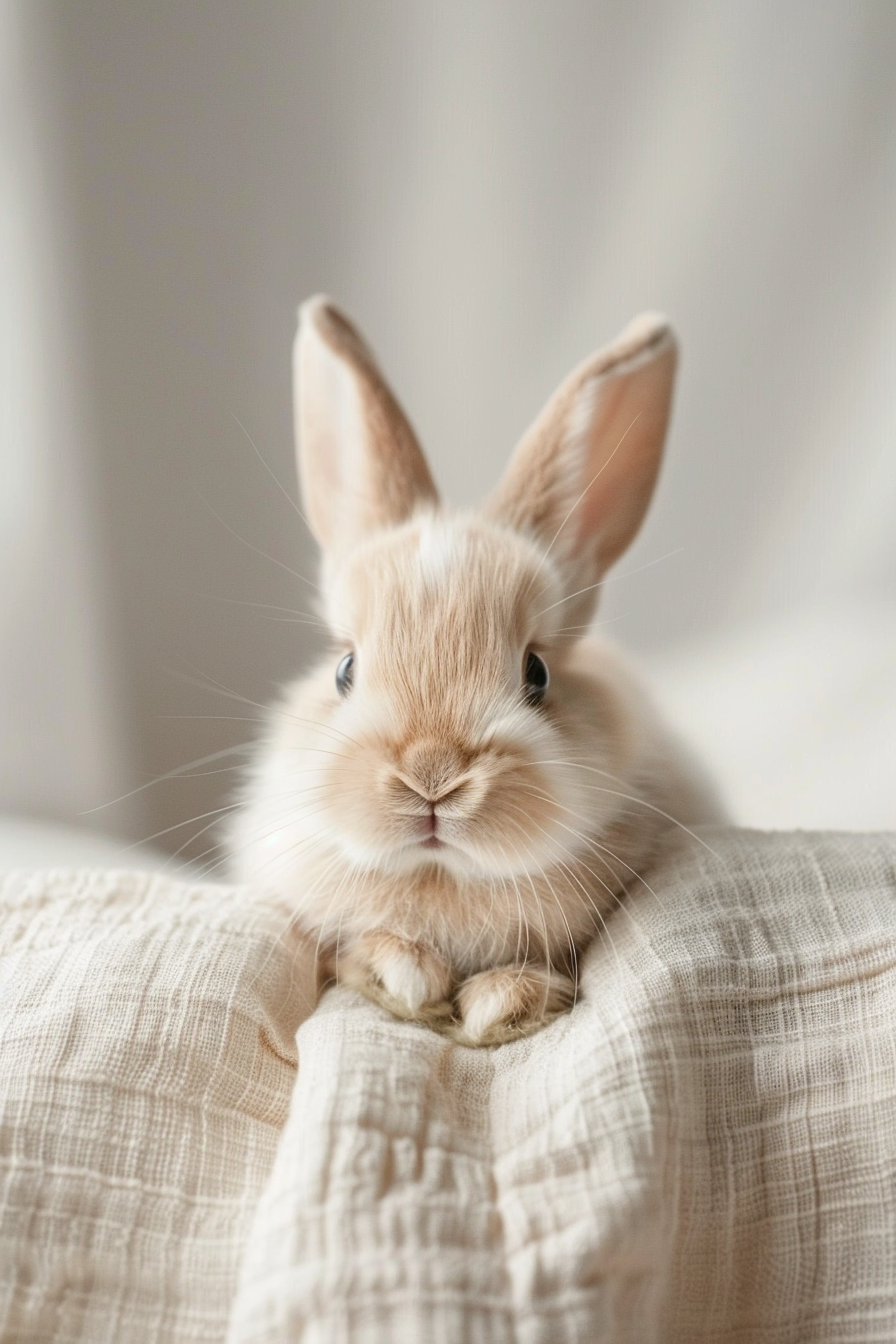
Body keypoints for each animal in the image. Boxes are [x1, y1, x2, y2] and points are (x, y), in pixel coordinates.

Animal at [227, 297, 720, 1046]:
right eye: (345, 669)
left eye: (537, 673)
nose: (431, 778)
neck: (443, 878)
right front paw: (405, 976)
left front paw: (502, 1005)